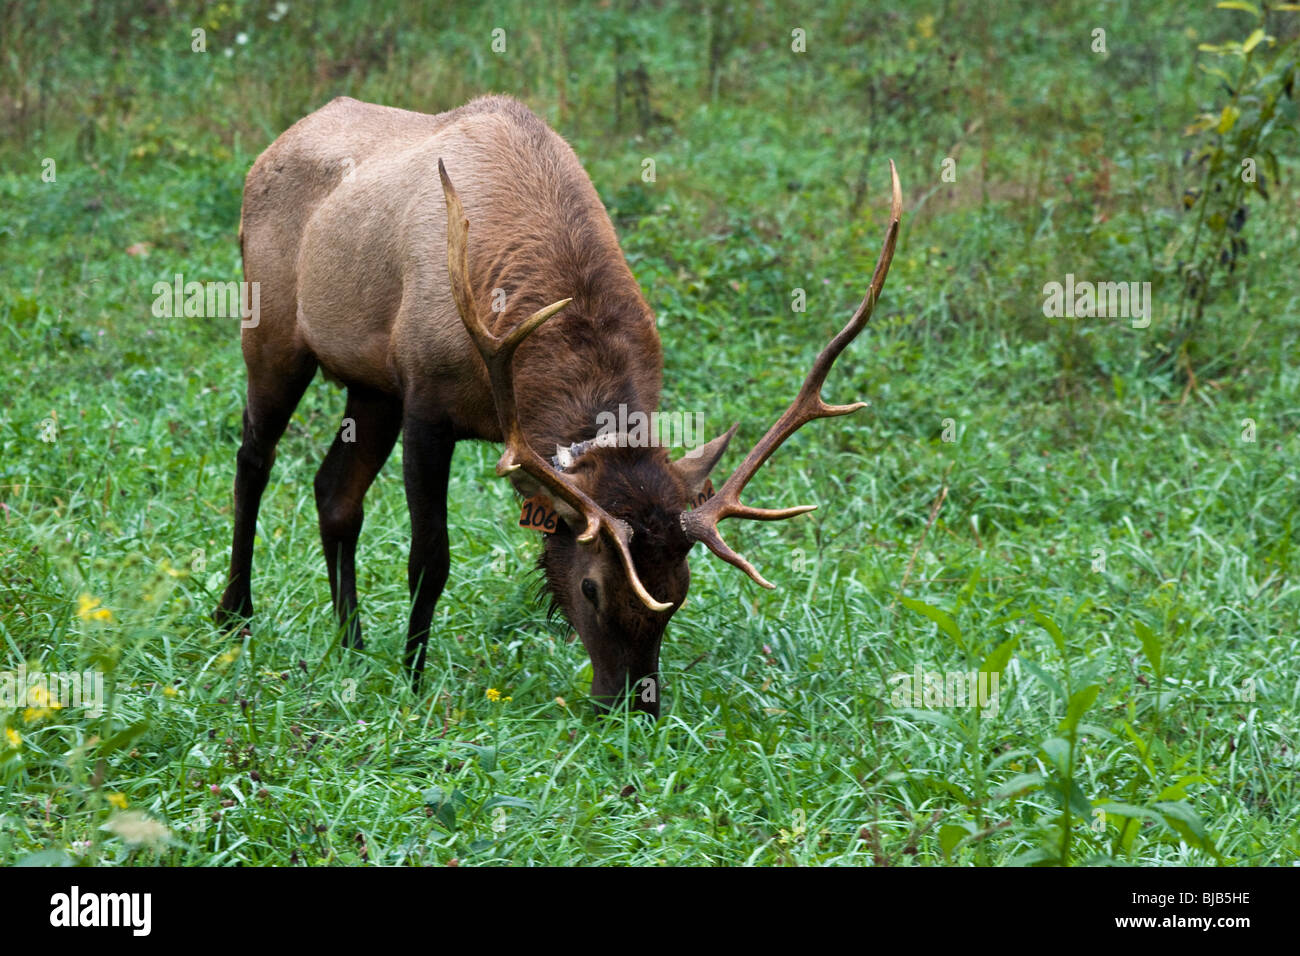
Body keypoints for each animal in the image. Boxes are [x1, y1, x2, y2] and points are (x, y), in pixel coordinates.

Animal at [215, 95, 901, 717]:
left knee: (334, 492)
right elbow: (429, 556)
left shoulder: (404, 392)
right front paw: (411, 680)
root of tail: (272, 148)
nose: (633, 707)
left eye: (679, 592)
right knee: (254, 457)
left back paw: (350, 644)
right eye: (591, 587)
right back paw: (234, 615)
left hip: (371, 384)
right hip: (272, 331)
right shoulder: (426, 403)